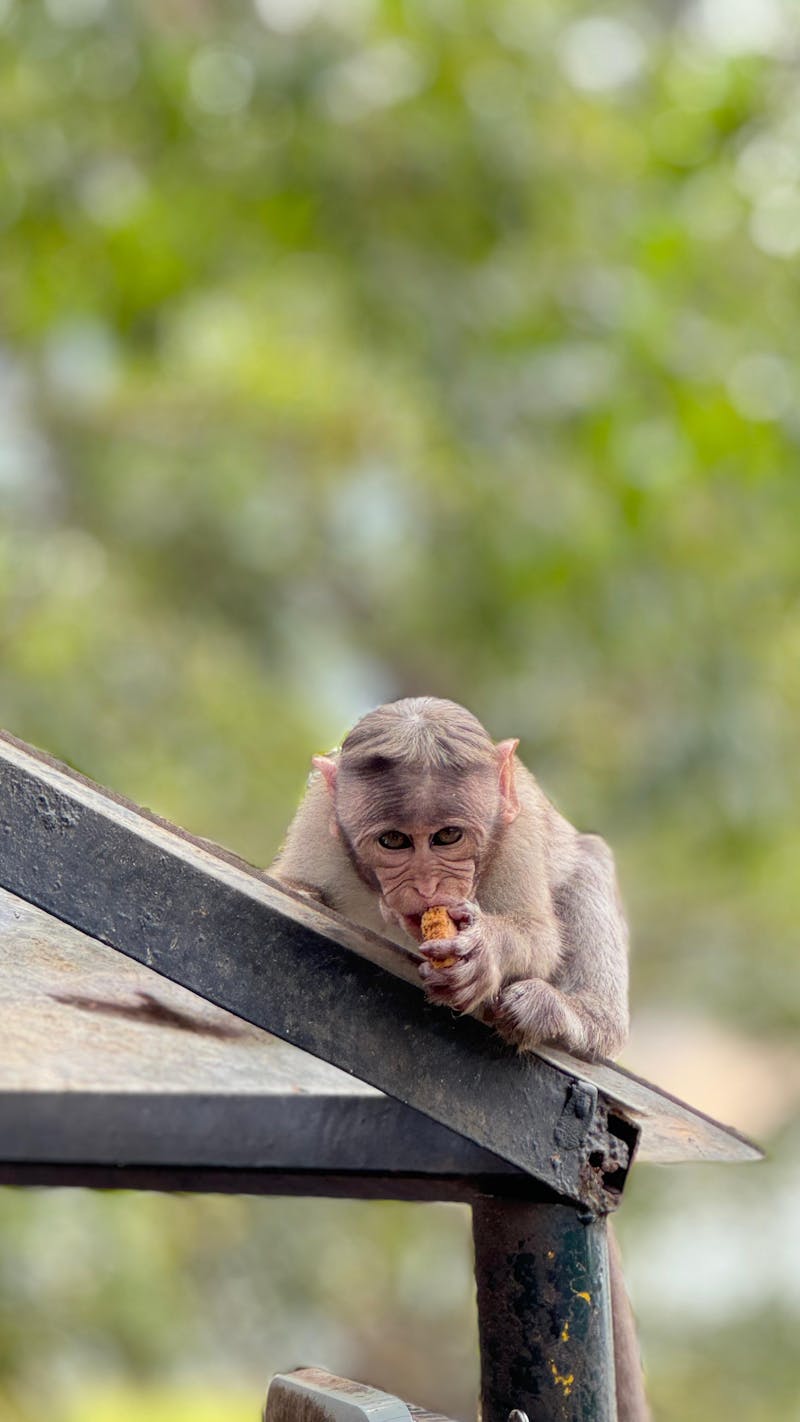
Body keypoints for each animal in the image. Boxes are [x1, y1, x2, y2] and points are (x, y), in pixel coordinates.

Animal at [271, 697, 648, 1422]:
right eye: (395, 842)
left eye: (447, 837)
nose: (427, 884)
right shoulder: (317, 828)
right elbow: (294, 885)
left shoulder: (515, 836)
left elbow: (535, 931)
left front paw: (488, 956)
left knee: (586, 864)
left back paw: (565, 1016)